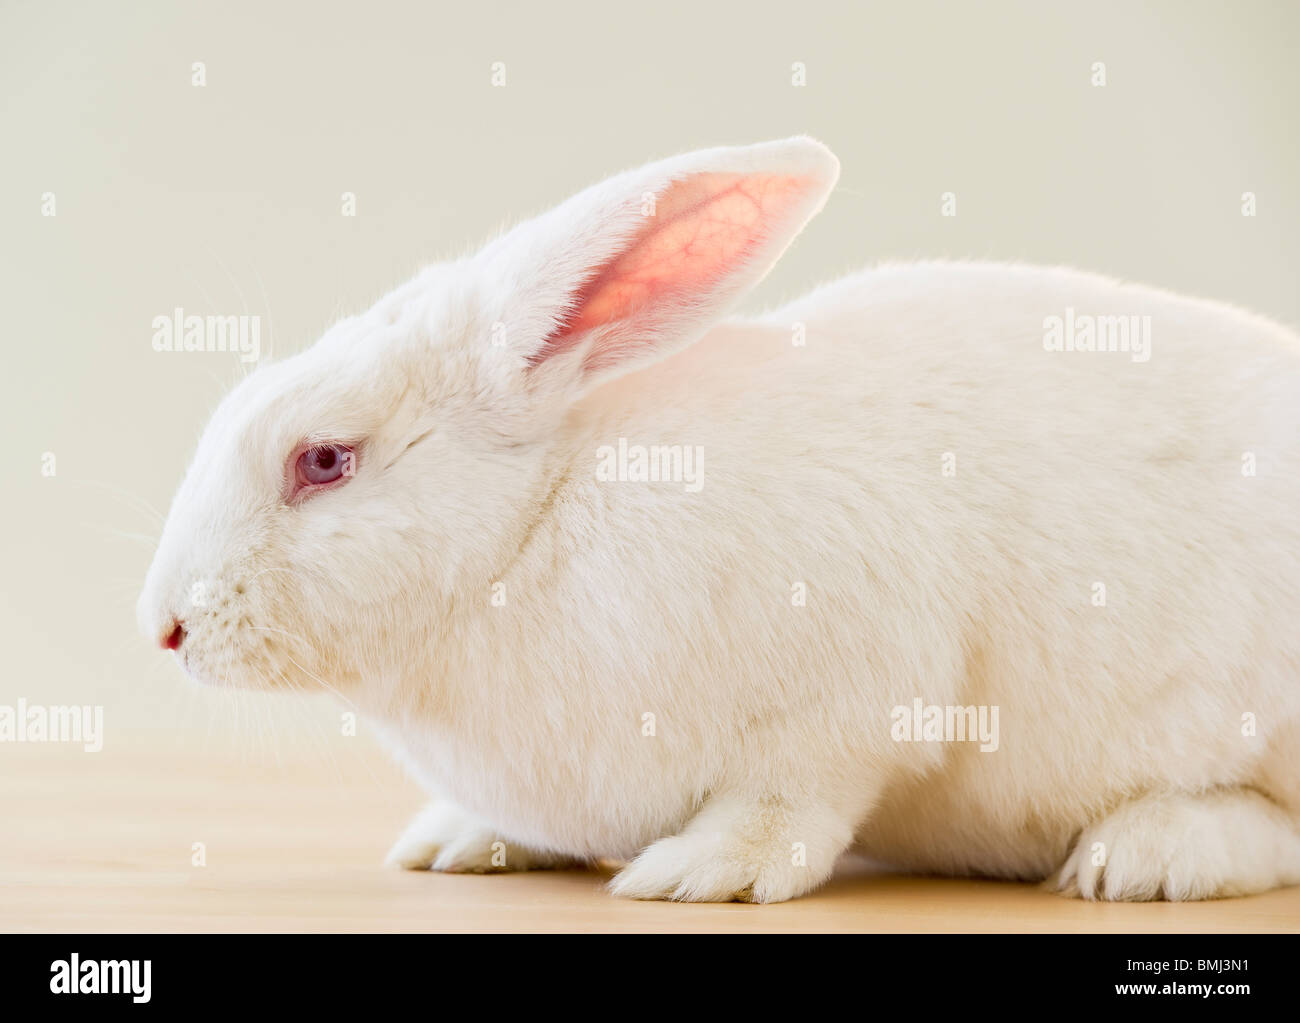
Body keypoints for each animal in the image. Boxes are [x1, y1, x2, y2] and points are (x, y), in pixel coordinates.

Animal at [138, 136, 1300, 903]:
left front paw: (700, 874)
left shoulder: (847, 708)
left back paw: (1141, 854)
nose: (164, 630)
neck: (527, 534)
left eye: (324, 461)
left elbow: (786, 808)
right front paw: (457, 843)